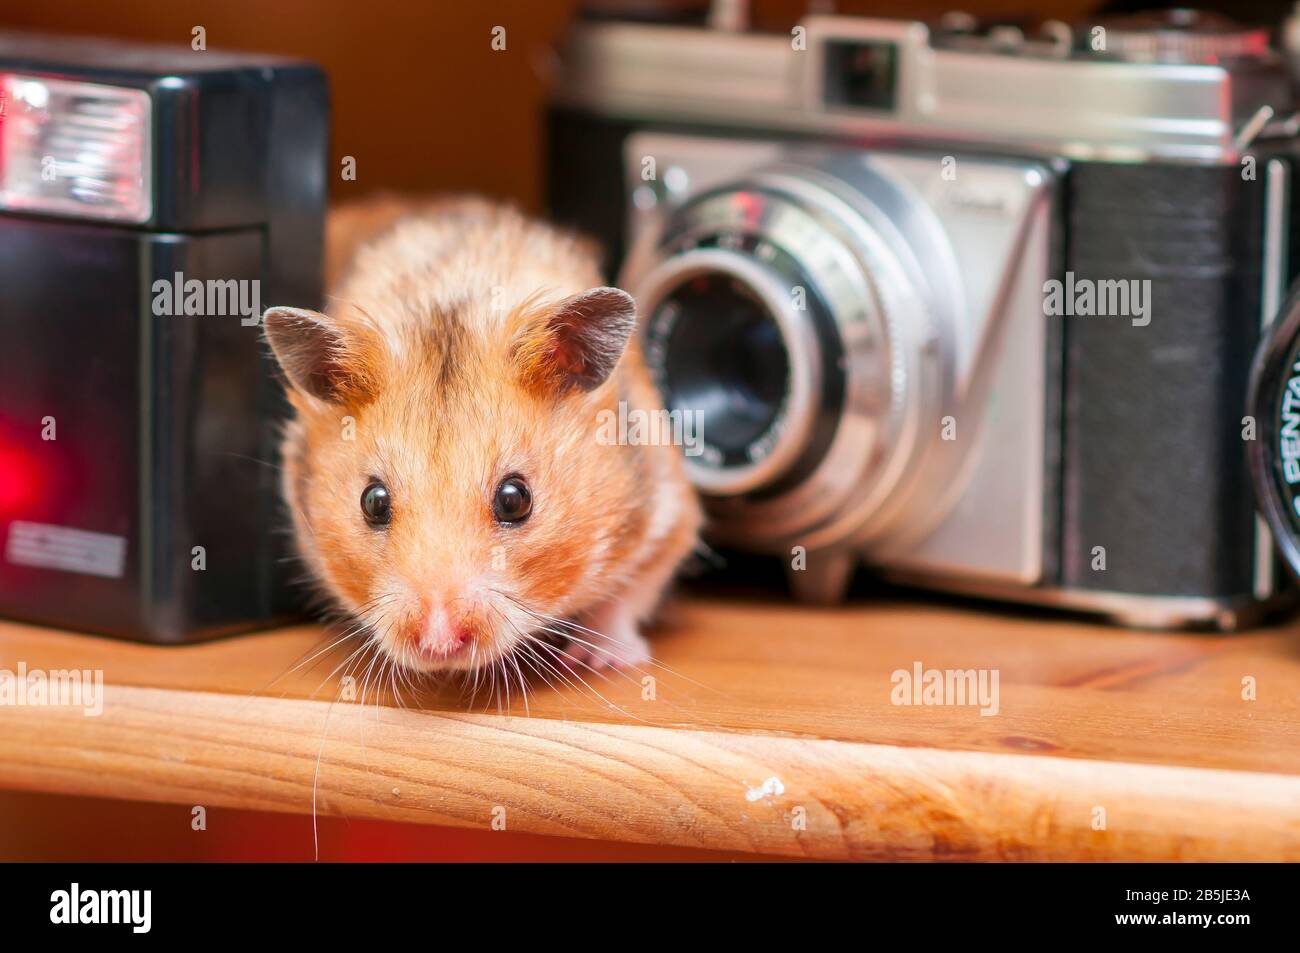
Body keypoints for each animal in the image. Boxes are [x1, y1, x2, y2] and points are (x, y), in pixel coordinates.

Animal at [262, 197, 701, 678]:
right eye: (373, 502)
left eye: (515, 499)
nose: (438, 645)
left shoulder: (668, 509)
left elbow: (630, 593)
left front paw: (598, 660)